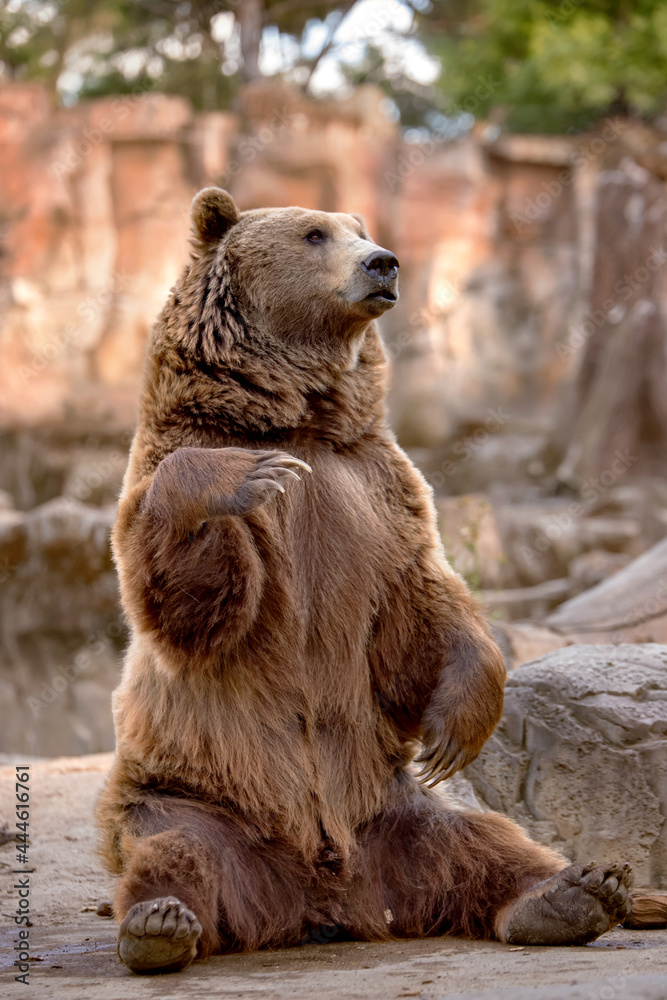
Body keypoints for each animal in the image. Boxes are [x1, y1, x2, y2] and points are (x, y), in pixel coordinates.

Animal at [96, 187, 634, 974]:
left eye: (359, 228)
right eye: (313, 234)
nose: (384, 261)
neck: (299, 419)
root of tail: (324, 903)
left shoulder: (375, 490)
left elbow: (423, 601)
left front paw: (455, 729)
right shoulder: (182, 472)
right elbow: (197, 604)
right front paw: (239, 477)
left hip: (391, 808)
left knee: (480, 841)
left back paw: (574, 892)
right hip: (192, 790)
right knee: (177, 850)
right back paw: (159, 924)